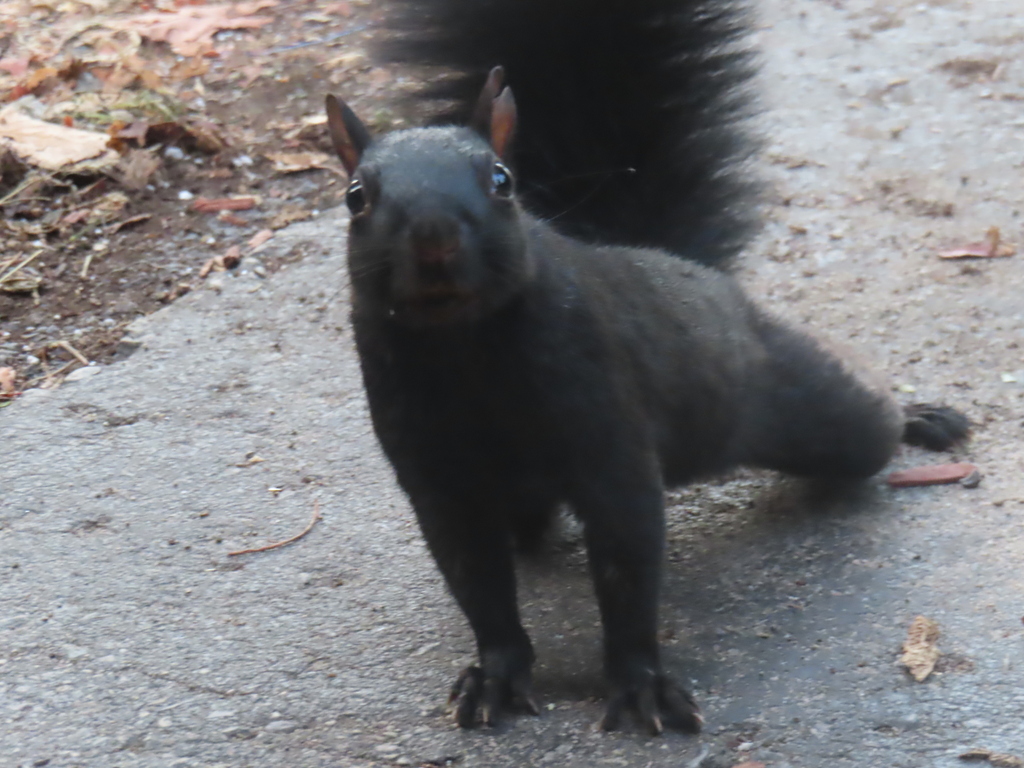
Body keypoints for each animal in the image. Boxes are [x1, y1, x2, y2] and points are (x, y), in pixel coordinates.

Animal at [324, 0, 970, 735]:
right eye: (354, 197)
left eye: (502, 182)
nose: (433, 234)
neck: (462, 347)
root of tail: (684, 267)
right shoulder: (436, 477)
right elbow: (477, 585)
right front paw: (496, 673)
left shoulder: (611, 438)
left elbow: (627, 571)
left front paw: (639, 683)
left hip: (812, 408)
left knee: (865, 417)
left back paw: (919, 415)